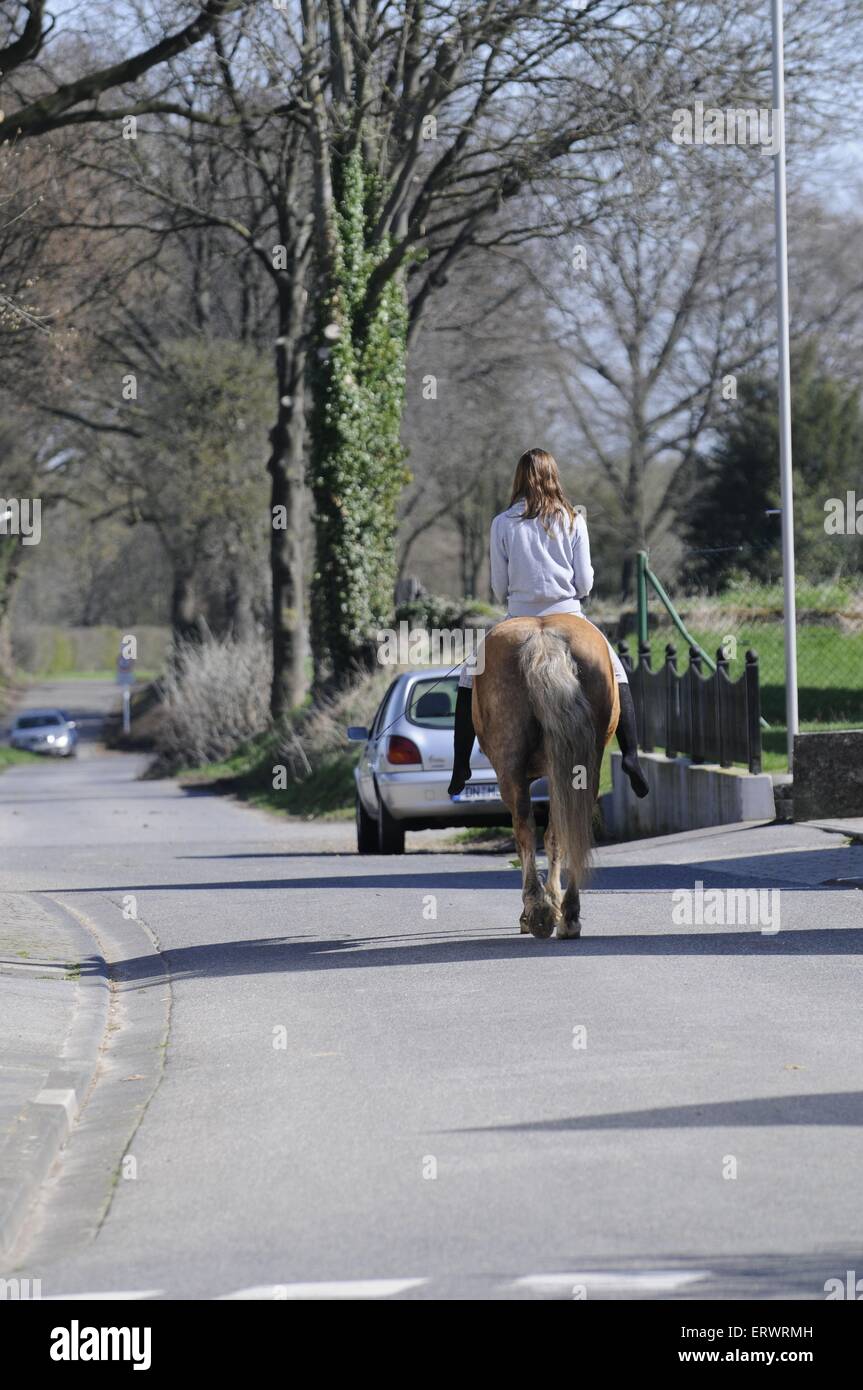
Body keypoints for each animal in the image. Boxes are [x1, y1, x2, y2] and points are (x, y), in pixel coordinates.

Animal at [472, 615, 619, 939]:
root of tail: (543, 636)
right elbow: (555, 835)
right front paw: (554, 901)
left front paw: (542, 905)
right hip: (583, 765)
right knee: (573, 825)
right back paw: (569, 916)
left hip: (510, 768)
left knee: (524, 827)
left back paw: (537, 911)